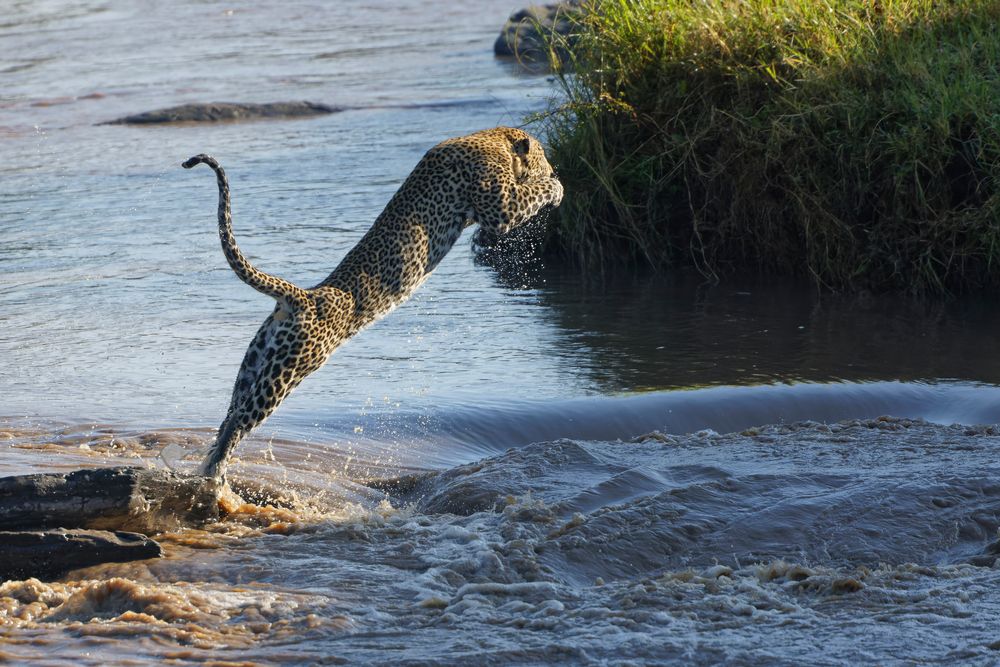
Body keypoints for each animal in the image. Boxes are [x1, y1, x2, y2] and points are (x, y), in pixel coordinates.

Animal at [182, 127, 564, 481]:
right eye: (545, 155)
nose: (554, 167)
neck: (492, 139)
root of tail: (305, 295)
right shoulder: (501, 206)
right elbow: (535, 193)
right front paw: (556, 187)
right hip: (287, 371)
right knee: (238, 425)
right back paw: (214, 475)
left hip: (255, 363)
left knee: (227, 417)